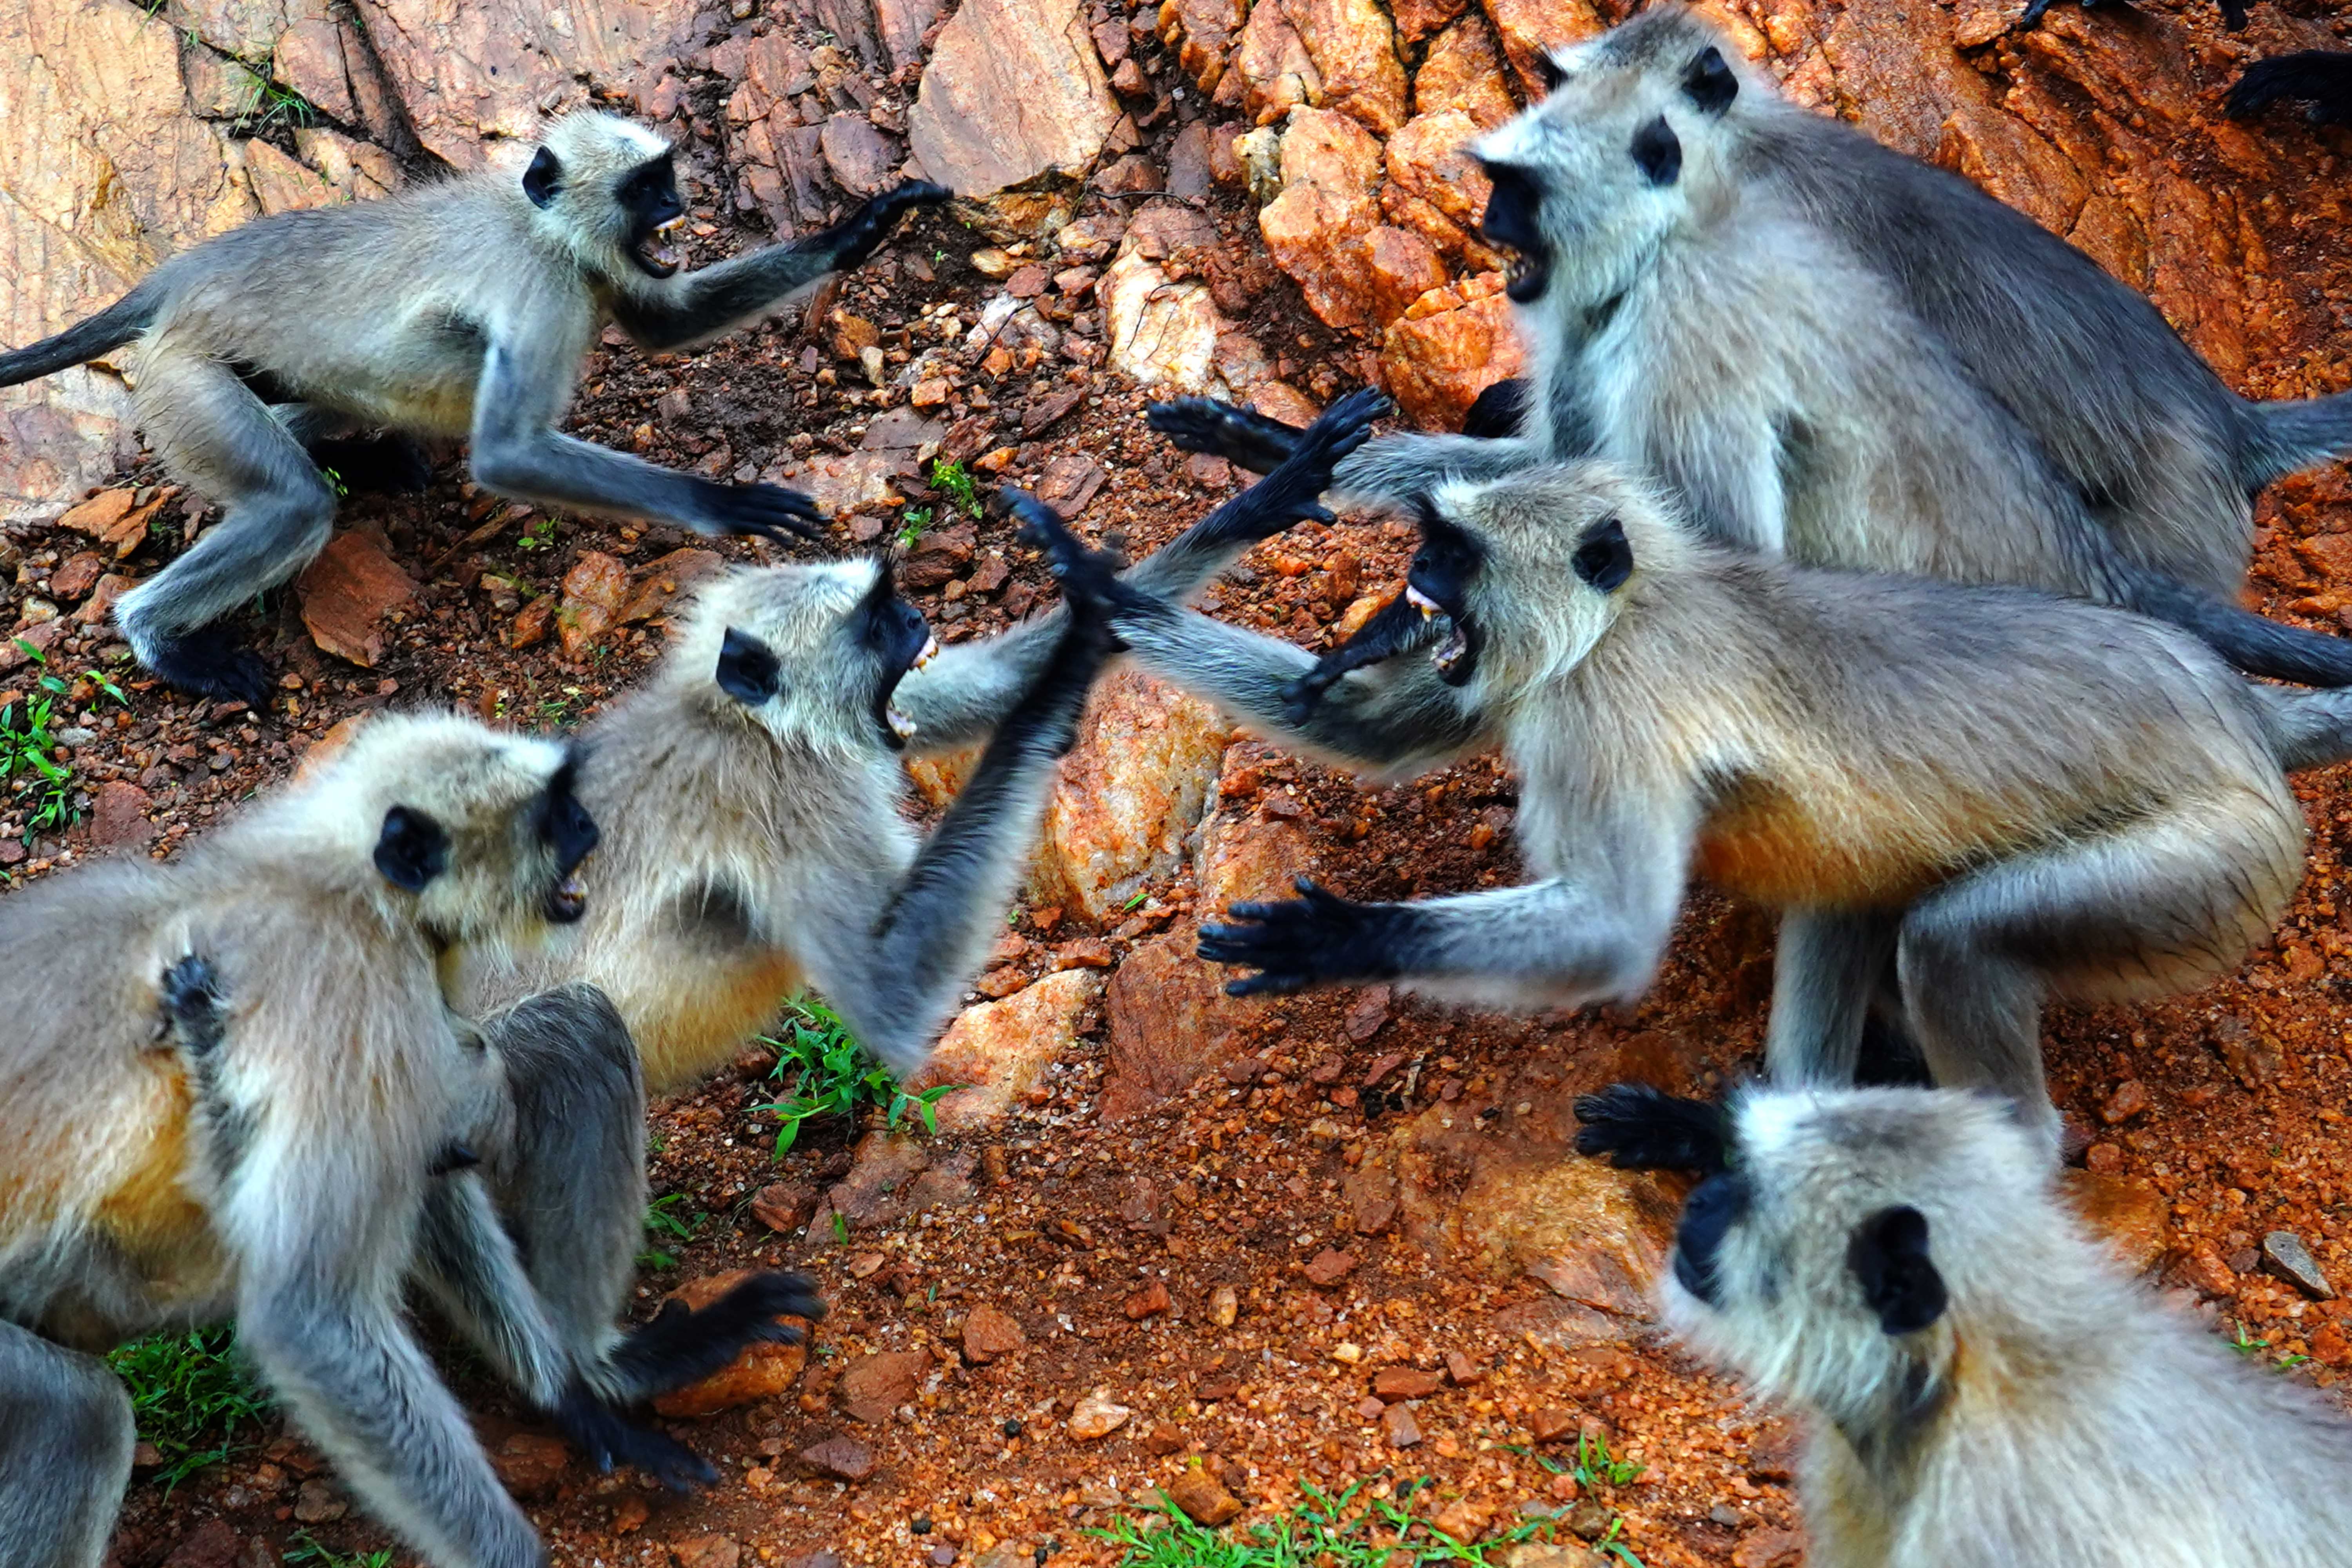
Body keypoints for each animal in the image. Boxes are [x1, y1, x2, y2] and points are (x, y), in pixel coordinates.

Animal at [0, 110, 949, 707]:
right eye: (645, 190)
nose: (679, 206)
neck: (544, 230)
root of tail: (178, 279)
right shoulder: (537, 283)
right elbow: (507, 454)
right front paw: (726, 505)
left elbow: (663, 325)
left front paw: (861, 230)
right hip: (185, 376)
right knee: (293, 500)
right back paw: (157, 636)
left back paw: (364, 456)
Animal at [0, 712, 813, 1568]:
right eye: (554, 813)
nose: (592, 827)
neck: (359, 893)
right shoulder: (351, 993)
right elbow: (310, 1316)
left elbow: (431, 1167)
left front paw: (573, 1398)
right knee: (75, 1416)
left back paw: (607, 1367)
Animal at [1071, 461, 2352, 1156]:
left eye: (1455, 554)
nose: (1419, 584)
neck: (1635, 606)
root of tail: (2241, 715)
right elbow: (1373, 735)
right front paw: (1102, 598)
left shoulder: (1611, 700)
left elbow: (1613, 927)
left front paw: (1335, 937)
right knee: (1852, 894)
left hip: (2211, 858)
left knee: (1953, 943)